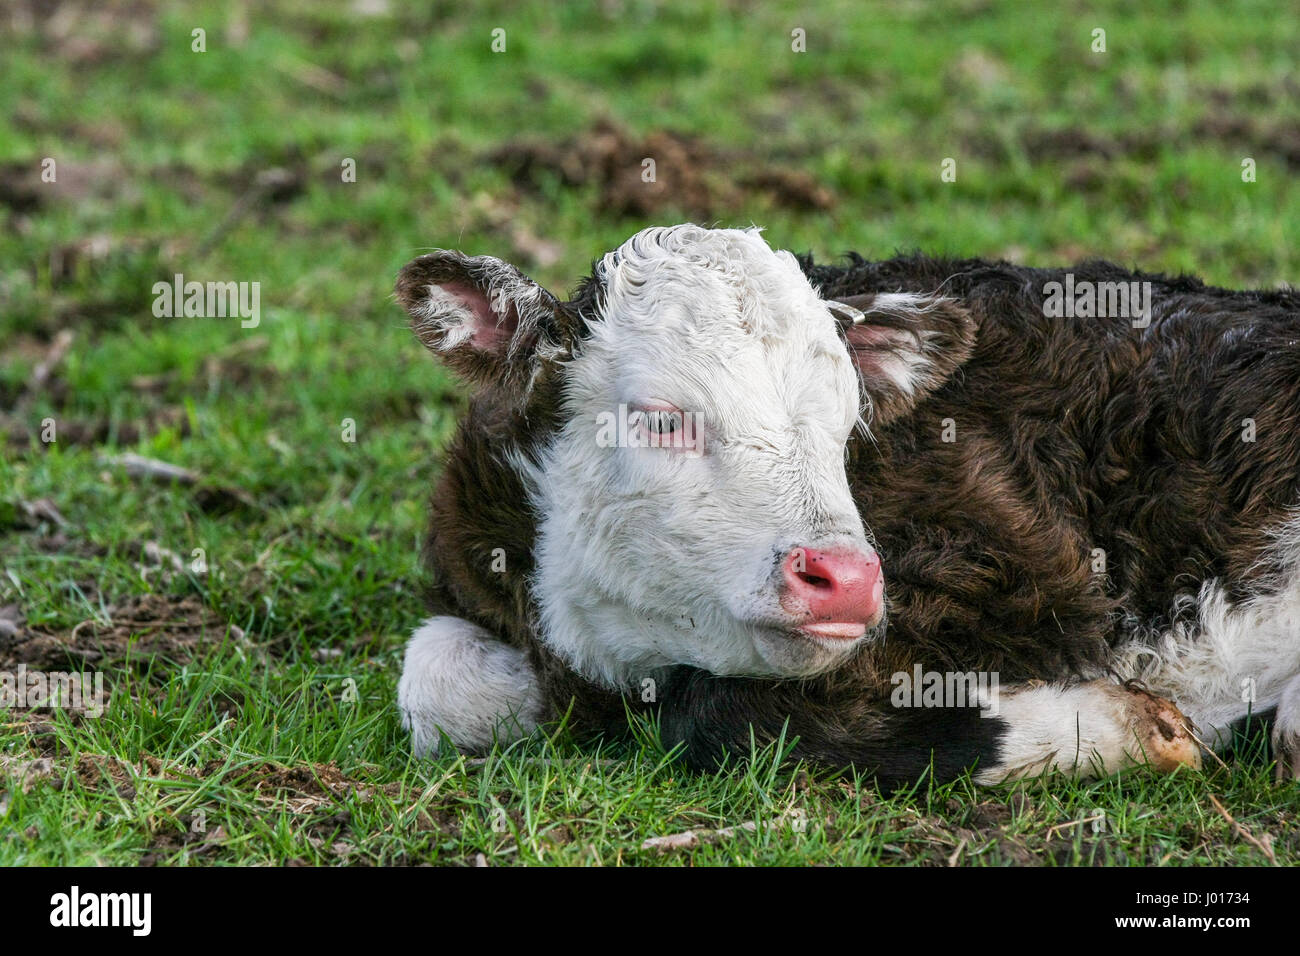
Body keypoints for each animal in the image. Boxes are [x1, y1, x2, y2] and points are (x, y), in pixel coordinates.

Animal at [394, 224, 1300, 786]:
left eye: (843, 420)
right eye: (660, 417)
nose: (849, 579)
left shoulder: (1029, 582)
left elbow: (725, 712)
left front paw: (1125, 726)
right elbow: (437, 688)